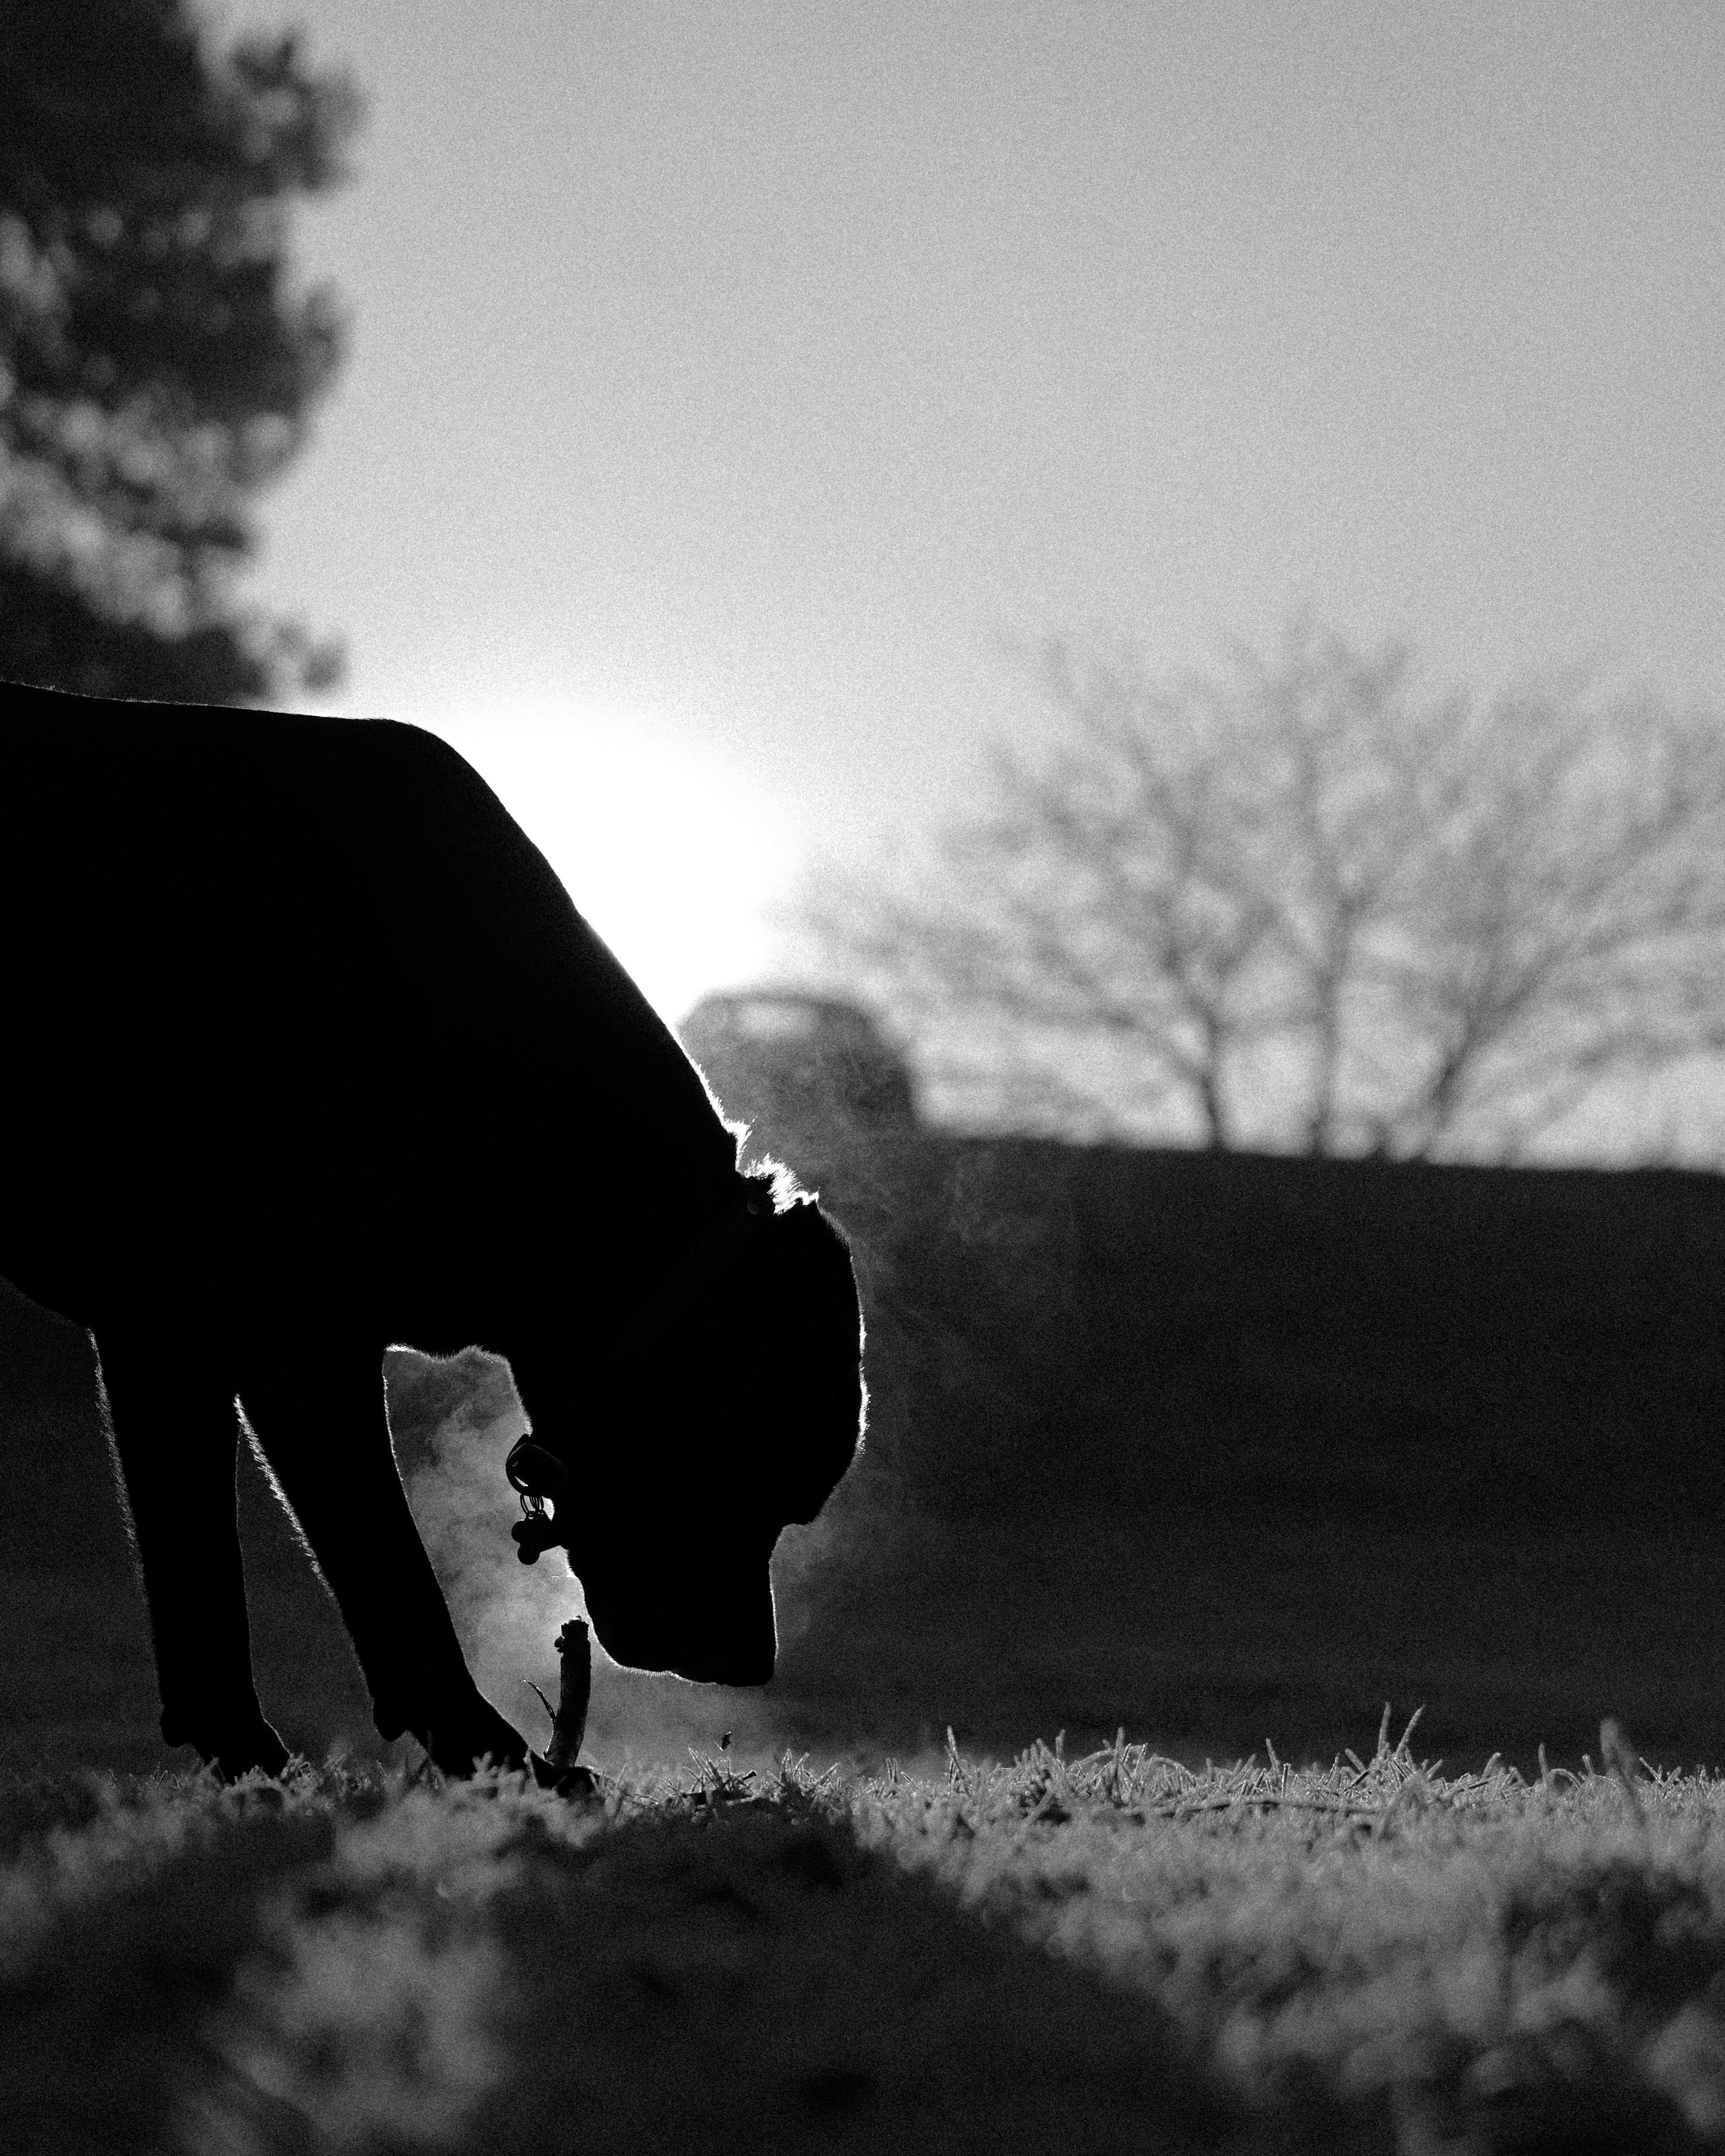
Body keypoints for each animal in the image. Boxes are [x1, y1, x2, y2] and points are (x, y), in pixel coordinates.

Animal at [0, 679, 865, 1779]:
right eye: (768, 1484)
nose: (752, 1666)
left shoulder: (163, 1337)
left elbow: (197, 1572)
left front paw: (242, 1750)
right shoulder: (290, 1342)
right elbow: (387, 1570)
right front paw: (482, 1748)